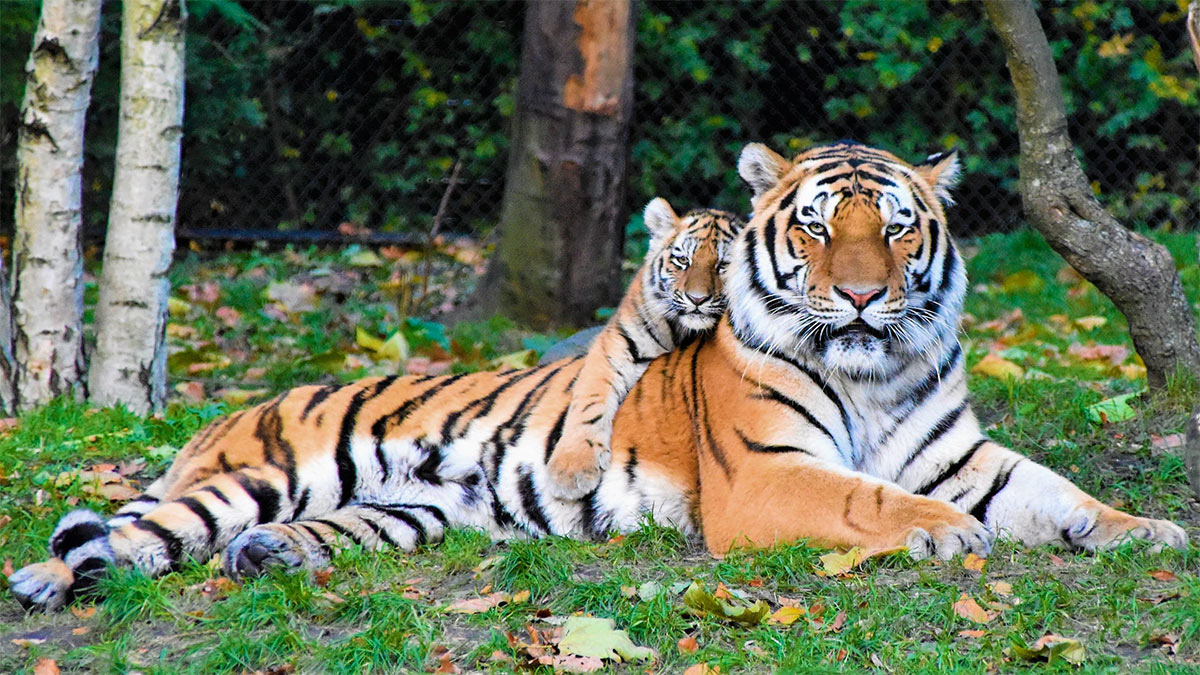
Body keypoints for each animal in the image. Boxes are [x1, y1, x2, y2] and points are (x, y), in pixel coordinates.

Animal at [545, 198, 743, 498]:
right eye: (683, 260)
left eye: (723, 265)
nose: (697, 299)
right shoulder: (616, 345)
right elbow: (590, 400)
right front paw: (570, 471)